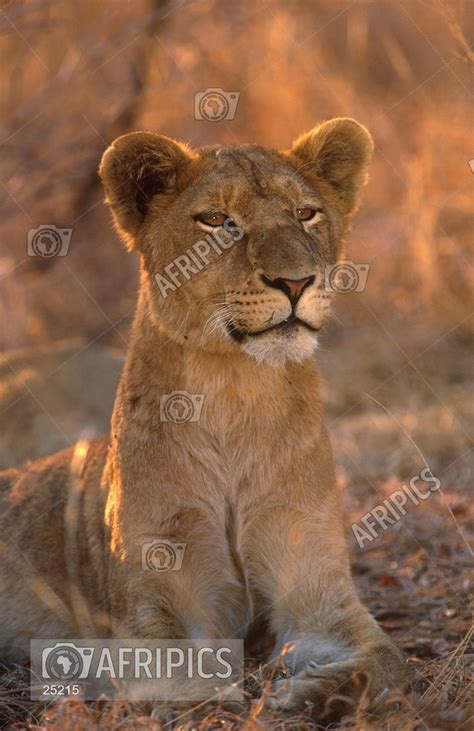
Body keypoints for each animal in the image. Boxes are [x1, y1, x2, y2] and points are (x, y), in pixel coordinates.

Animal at [0, 119, 405, 720]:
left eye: (306, 213)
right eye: (217, 220)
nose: (295, 282)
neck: (236, 391)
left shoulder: (317, 584)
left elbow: (385, 660)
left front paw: (308, 692)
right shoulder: (151, 599)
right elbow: (180, 675)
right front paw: (221, 703)